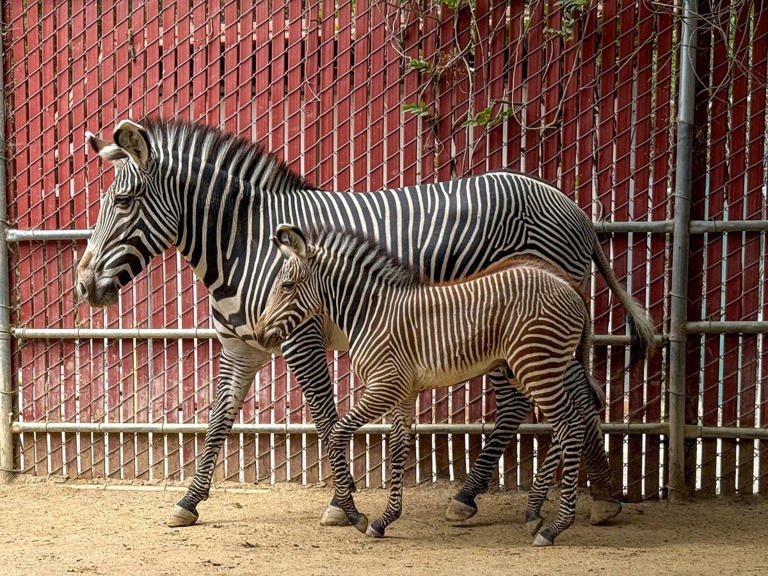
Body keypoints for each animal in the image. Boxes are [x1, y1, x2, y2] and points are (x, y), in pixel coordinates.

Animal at [254, 224, 597, 546]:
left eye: (286, 286)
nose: (258, 335)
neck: (371, 312)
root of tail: (568, 284)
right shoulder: (403, 393)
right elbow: (397, 447)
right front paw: (384, 520)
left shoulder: (384, 386)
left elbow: (338, 434)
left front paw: (354, 515)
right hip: (539, 368)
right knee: (572, 419)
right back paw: (535, 513)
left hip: (536, 366)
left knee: (570, 424)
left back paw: (554, 527)